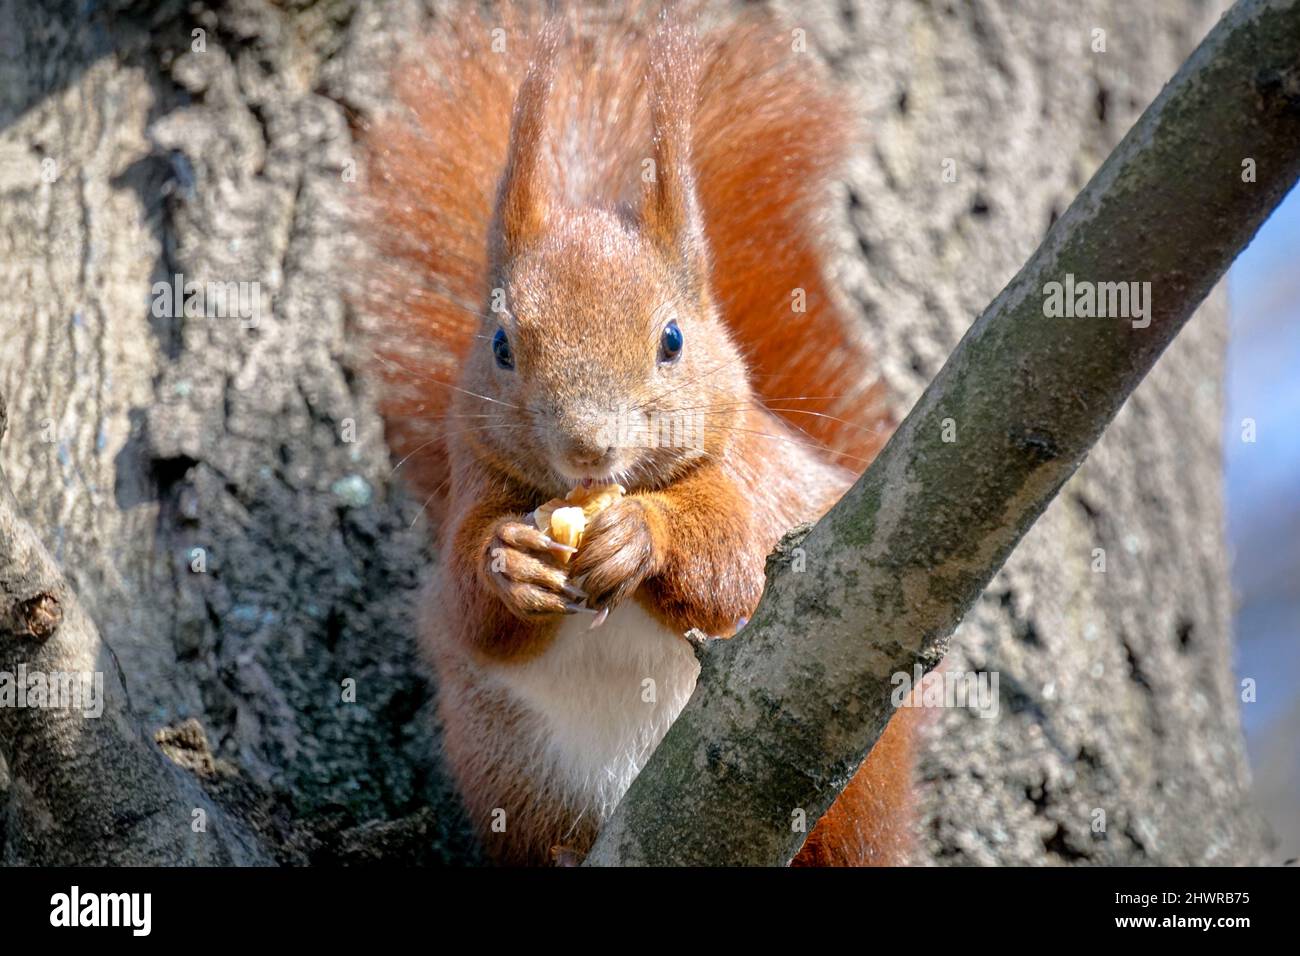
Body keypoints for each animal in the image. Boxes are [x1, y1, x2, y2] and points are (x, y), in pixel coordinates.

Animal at [357, 4, 920, 866]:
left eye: (673, 340)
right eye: (501, 346)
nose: (589, 449)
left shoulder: (754, 486)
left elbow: (732, 568)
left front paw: (638, 534)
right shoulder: (476, 484)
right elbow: (467, 606)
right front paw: (510, 560)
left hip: (858, 791)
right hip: (509, 764)